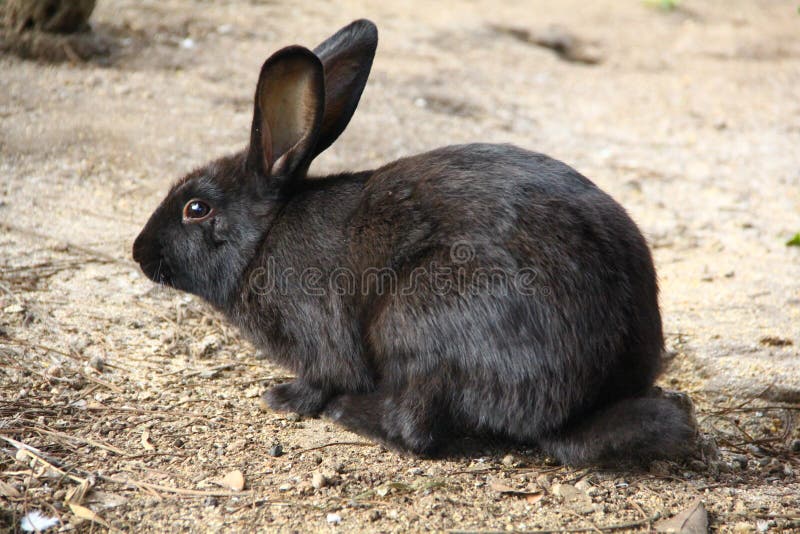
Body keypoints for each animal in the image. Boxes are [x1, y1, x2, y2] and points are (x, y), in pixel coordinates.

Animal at [132, 19, 696, 466]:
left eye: (196, 209)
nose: (138, 253)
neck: (263, 237)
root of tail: (576, 407)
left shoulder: (317, 338)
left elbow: (321, 378)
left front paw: (283, 397)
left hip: (417, 323)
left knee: (417, 427)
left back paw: (352, 414)